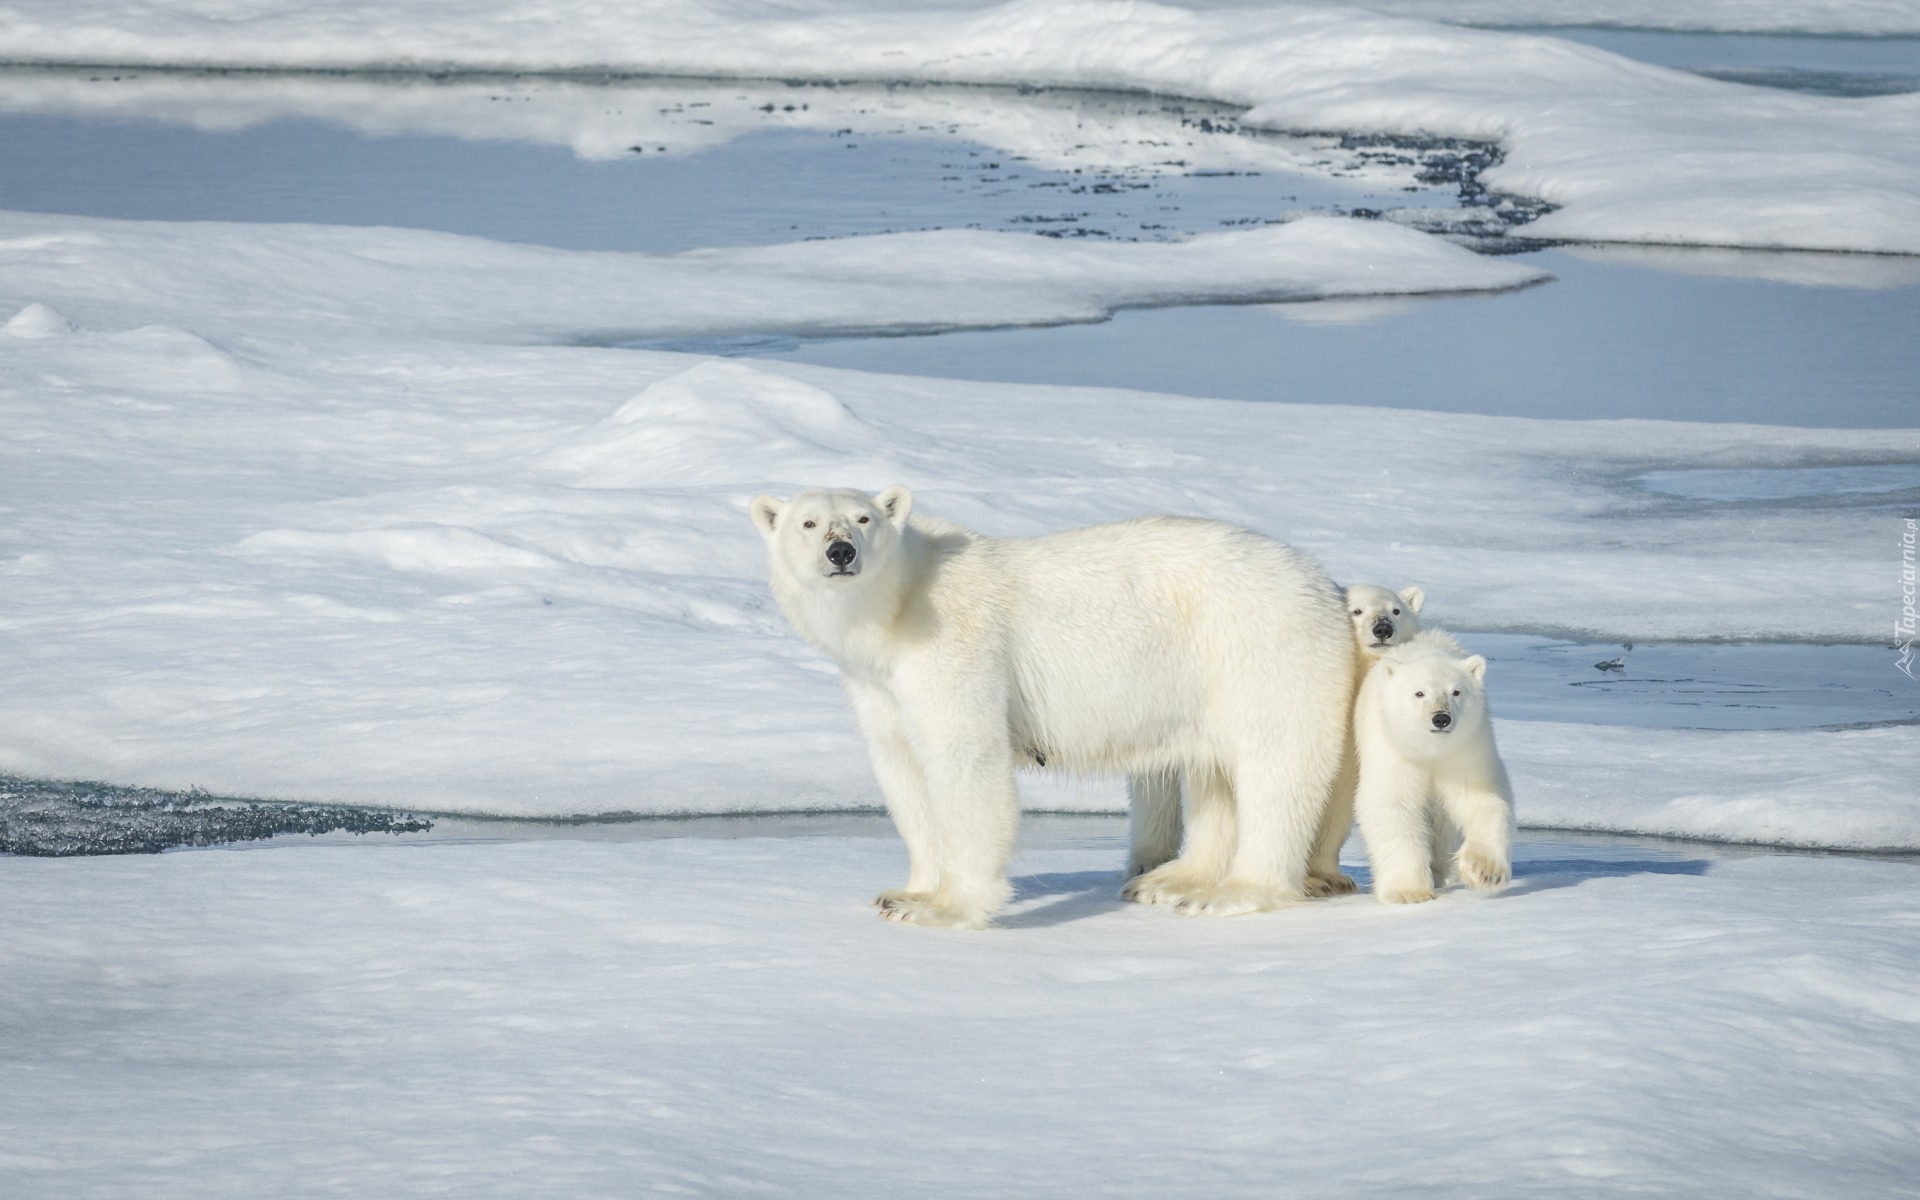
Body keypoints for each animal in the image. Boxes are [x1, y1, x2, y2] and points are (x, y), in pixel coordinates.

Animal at [748, 483, 1351, 925]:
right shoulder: (878, 682)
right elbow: (901, 768)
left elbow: (965, 757)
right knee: (1213, 772)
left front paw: (946, 908)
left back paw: (1230, 892)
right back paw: (1171, 880)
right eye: (808, 523)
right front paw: (904, 893)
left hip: (1259, 648)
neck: (897, 606)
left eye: (864, 518)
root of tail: (1322, 581)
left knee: (1275, 765)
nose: (840, 551)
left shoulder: (953, 644)